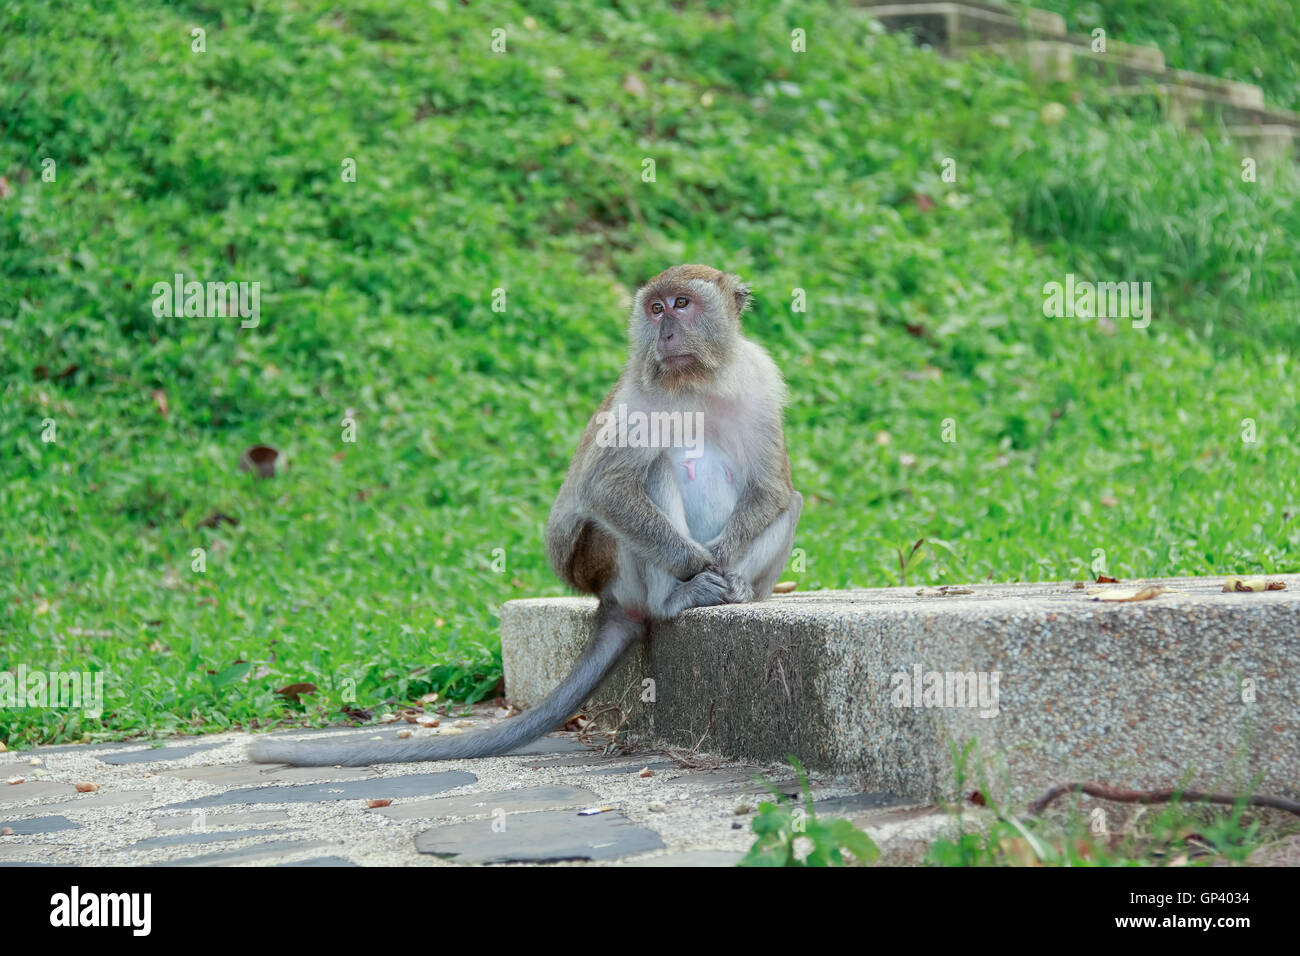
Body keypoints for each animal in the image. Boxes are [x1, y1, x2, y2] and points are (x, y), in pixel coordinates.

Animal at [248, 264, 802, 766]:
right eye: (655, 308)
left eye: (682, 305)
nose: (665, 332)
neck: (695, 381)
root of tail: (611, 600)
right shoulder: (637, 397)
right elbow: (605, 489)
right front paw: (699, 565)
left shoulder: (762, 379)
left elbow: (772, 486)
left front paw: (723, 563)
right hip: (607, 565)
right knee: (653, 470)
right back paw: (675, 599)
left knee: (788, 501)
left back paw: (741, 589)